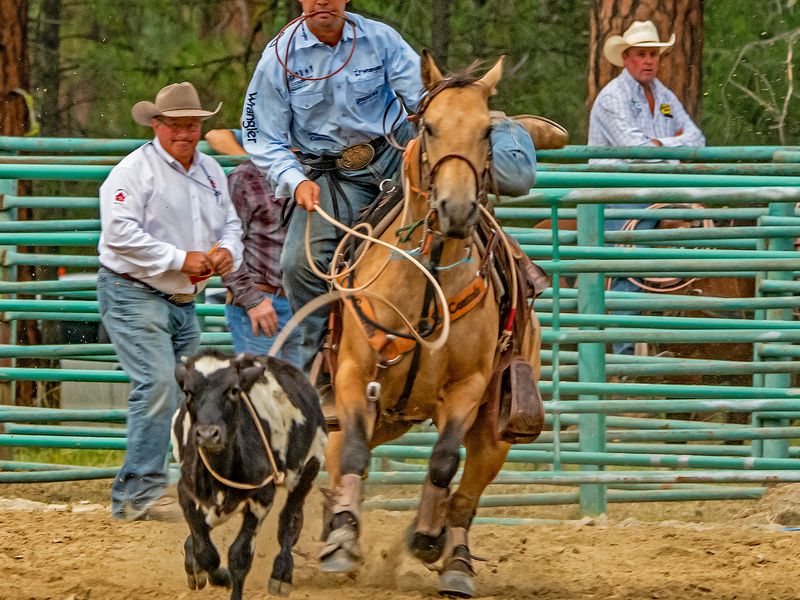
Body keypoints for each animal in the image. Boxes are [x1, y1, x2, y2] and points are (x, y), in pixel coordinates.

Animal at [171, 349, 327, 600]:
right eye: (188, 391)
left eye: (233, 390)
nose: (207, 434)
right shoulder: (186, 495)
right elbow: (205, 552)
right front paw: (217, 575)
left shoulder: (261, 499)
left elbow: (239, 556)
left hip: (309, 468)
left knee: (290, 521)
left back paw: (282, 574)